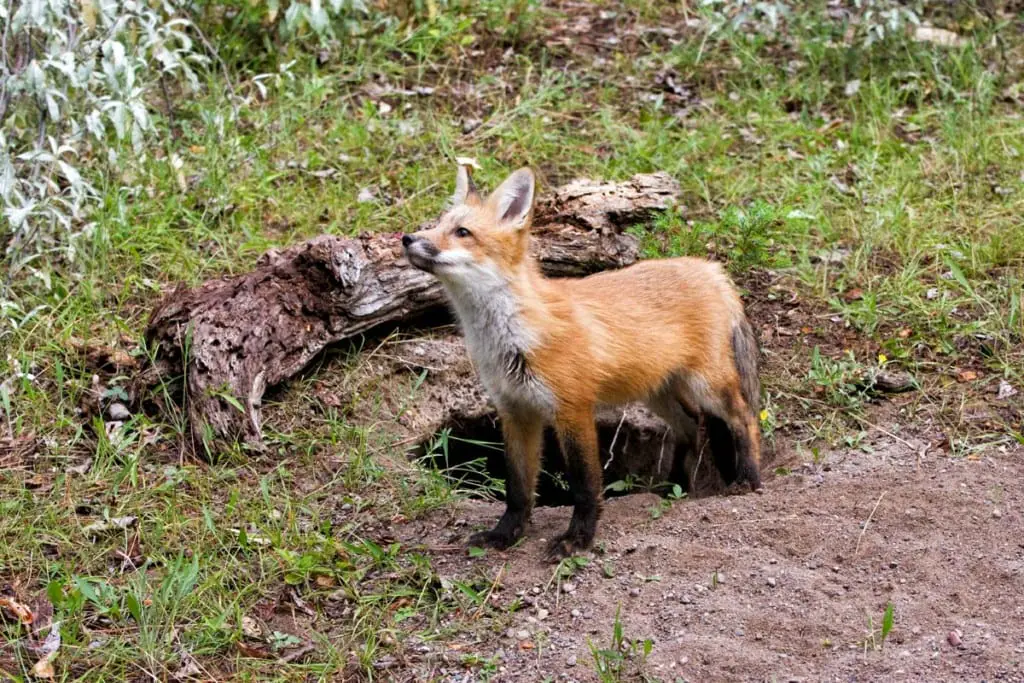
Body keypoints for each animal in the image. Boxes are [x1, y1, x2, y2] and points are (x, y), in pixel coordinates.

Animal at [402, 164, 762, 560]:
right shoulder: (515, 411)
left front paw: (578, 538)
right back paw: (673, 487)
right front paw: (505, 534)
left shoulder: (572, 408)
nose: (407, 238)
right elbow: (518, 487)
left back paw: (748, 479)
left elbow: (584, 484)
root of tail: (710, 268)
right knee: (691, 424)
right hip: (658, 392)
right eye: (437, 224)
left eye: (462, 232)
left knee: (743, 417)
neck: (513, 339)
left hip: (708, 384)